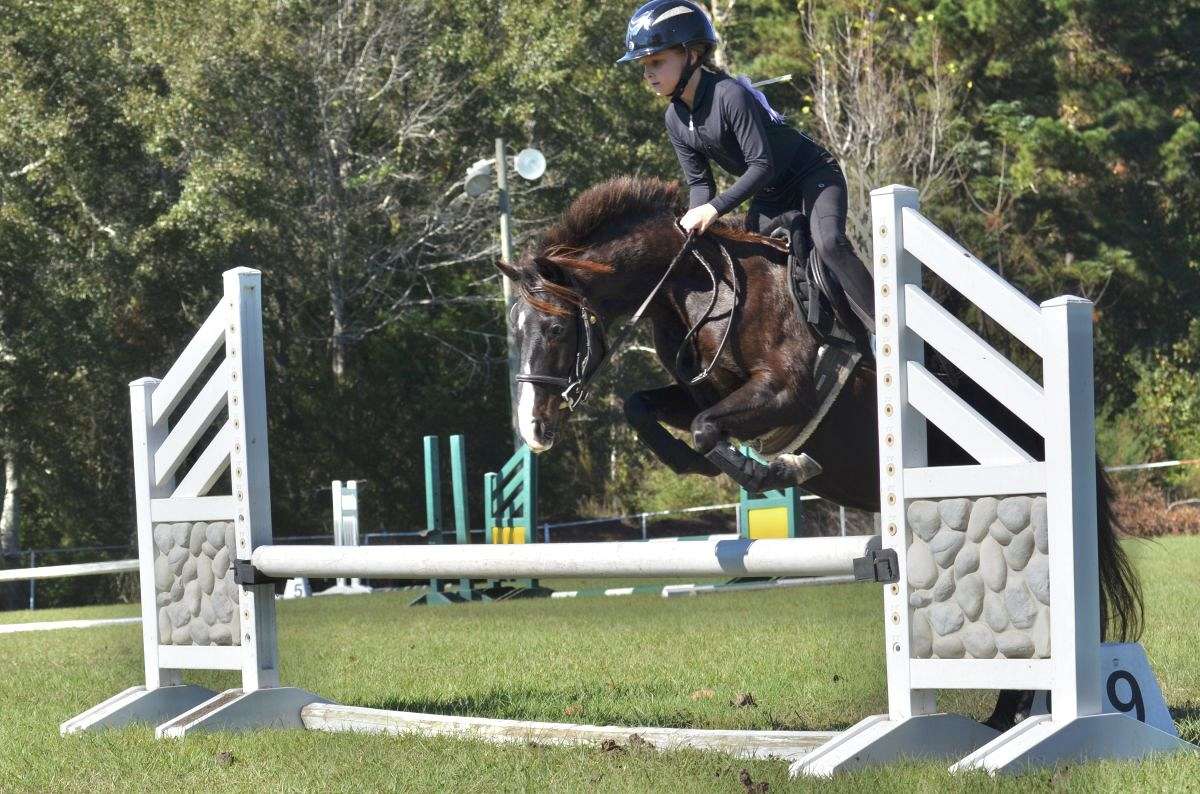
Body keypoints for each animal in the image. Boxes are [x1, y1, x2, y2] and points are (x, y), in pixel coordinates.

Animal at [496, 175, 1142, 729]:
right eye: (514, 333)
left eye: (554, 330)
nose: (533, 430)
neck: (699, 286)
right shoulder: (703, 391)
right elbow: (646, 408)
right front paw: (707, 464)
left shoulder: (785, 392)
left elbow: (706, 429)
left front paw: (773, 467)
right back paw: (1007, 718)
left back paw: (1012, 719)